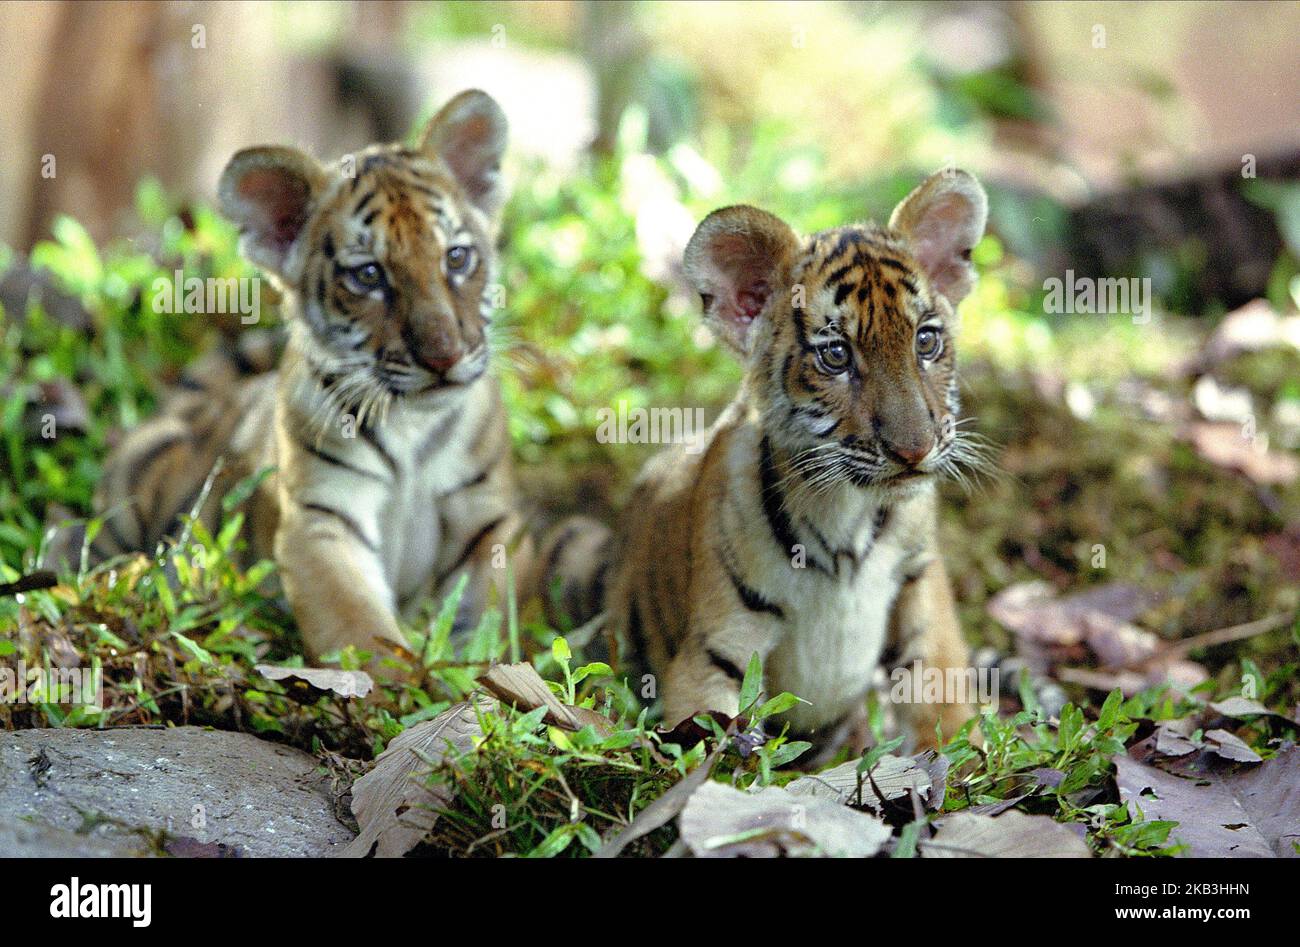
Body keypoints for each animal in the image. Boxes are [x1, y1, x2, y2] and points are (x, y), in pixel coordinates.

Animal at [91, 89, 531, 664]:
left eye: (456, 258)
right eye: (368, 275)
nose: (445, 356)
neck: (412, 428)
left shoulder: (490, 520)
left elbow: (486, 618)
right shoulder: (321, 520)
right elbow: (362, 634)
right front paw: (406, 685)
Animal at [542, 169, 990, 751]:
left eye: (926, 341)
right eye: (836, 355)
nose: (913, 449)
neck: (845, 515)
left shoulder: (921, 585)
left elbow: (943, 696)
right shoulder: (711, 654)